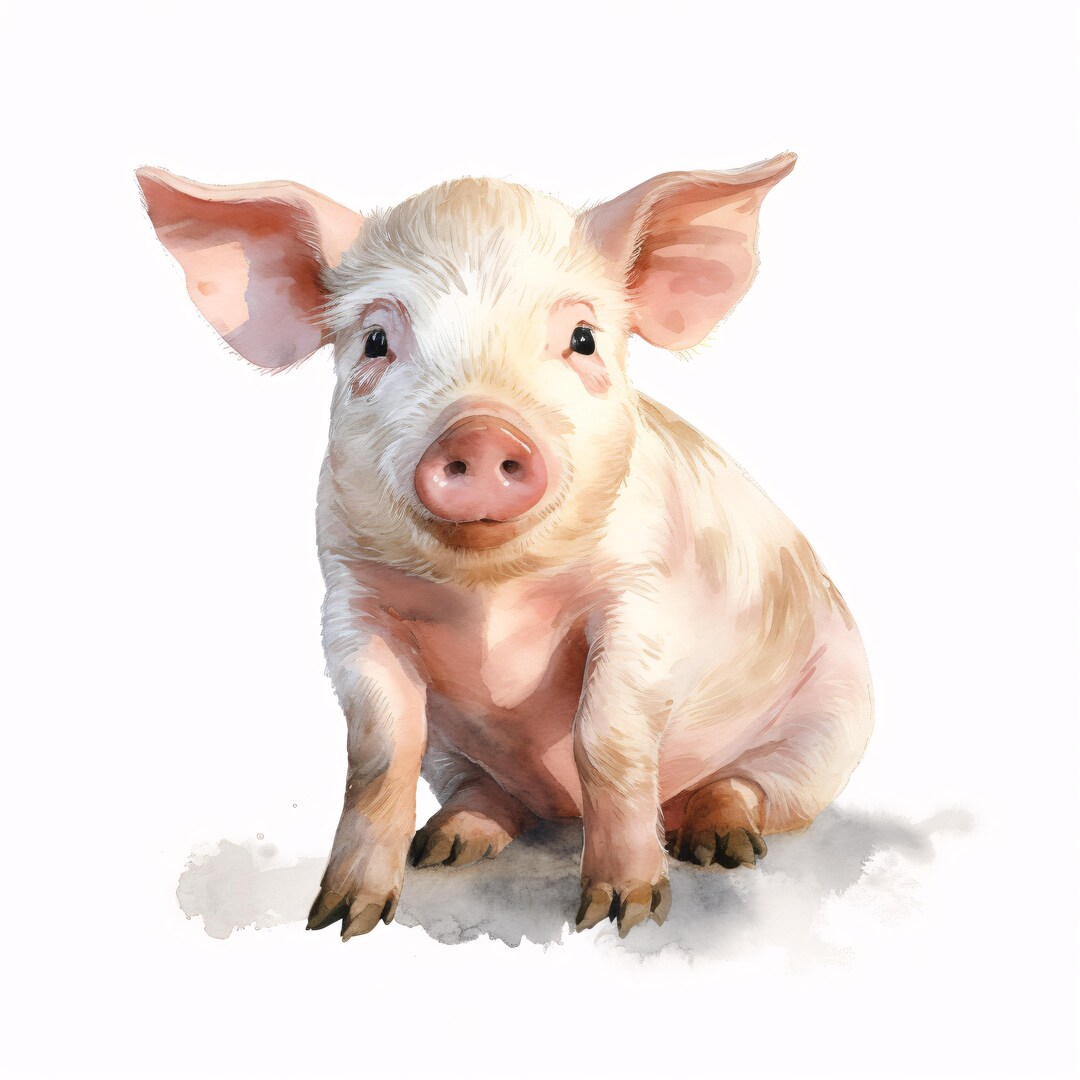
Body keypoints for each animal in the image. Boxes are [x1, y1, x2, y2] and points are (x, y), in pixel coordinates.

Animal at [137, 153, 873, 940]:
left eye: (582, 338)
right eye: (376, 341)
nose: (482, 432)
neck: (492, 588)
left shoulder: (642, 597)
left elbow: (607, 737)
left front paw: (623, 913)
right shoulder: (351, 604)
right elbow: (379, 750)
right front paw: (339, 918)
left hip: (832, 731)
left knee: (749, 788)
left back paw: (719, 845)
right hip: (455, 753)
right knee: (489, 794)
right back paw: (448, 844)